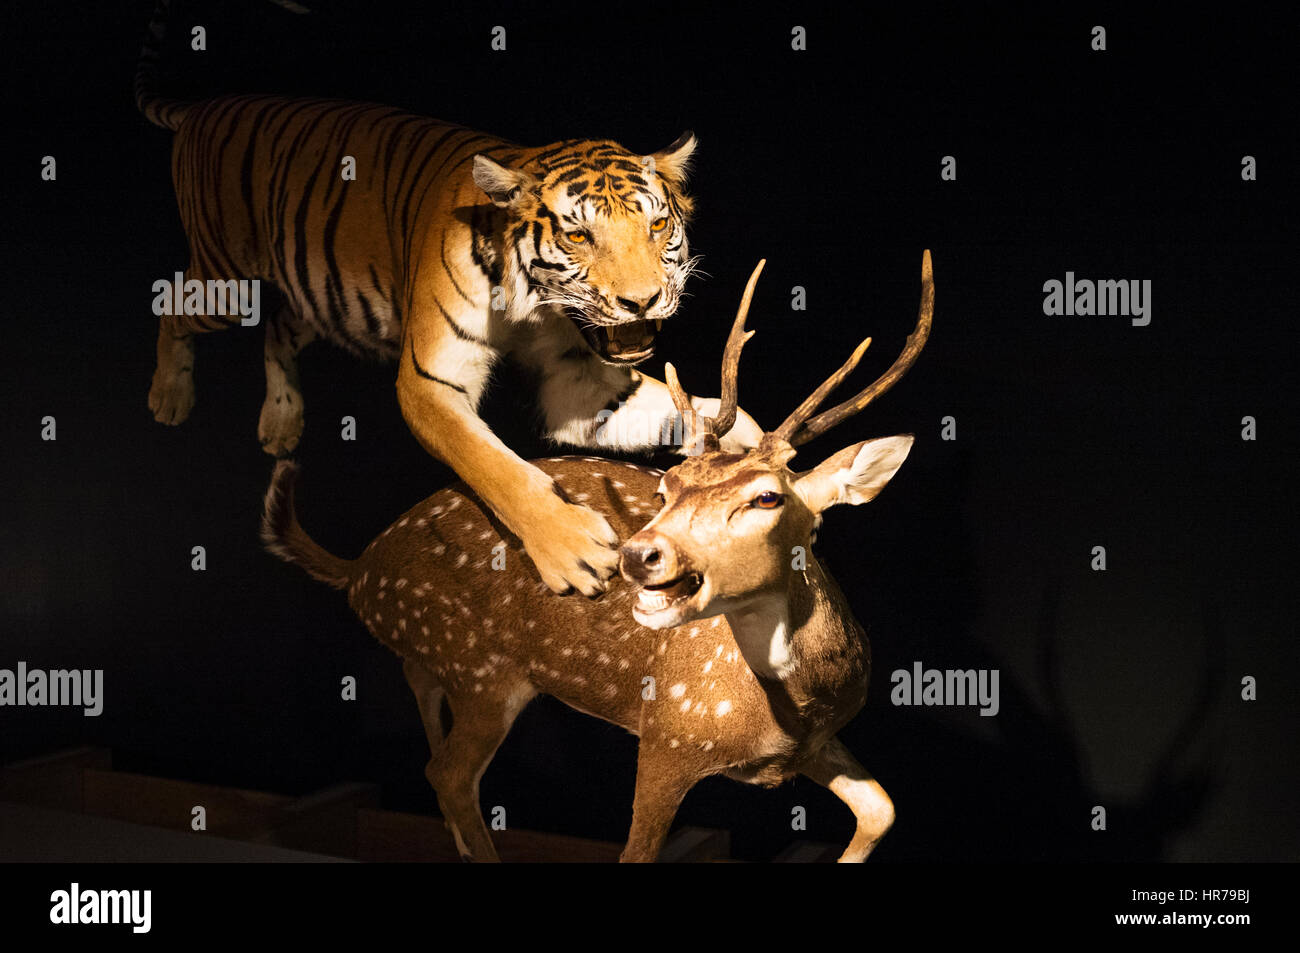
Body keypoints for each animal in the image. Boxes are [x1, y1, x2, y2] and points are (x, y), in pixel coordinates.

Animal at [134, 0, 762, 597]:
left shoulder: (578, 382)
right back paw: (168, 397)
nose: (642, 300)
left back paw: (282, 421)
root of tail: (206, 106)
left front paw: (752, 460)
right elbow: (493, 465)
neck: (534, 309)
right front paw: (572, 547)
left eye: (656, 226)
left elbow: (699, 413)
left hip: (314, 291)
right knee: (173, 306)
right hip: (226, 283)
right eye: (580, 235)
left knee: (279, 329)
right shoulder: (429, 381)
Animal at [261, 251, 934, 862]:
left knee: (426, 727)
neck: (792, 707)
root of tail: (360, 568)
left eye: (768, 496)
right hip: (482, 670)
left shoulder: (817, 744)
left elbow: (883, 810)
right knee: (448, 775)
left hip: (438, 660)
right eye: (668, 485)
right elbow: (636, 852)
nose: (636, 553)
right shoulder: (668, 736)